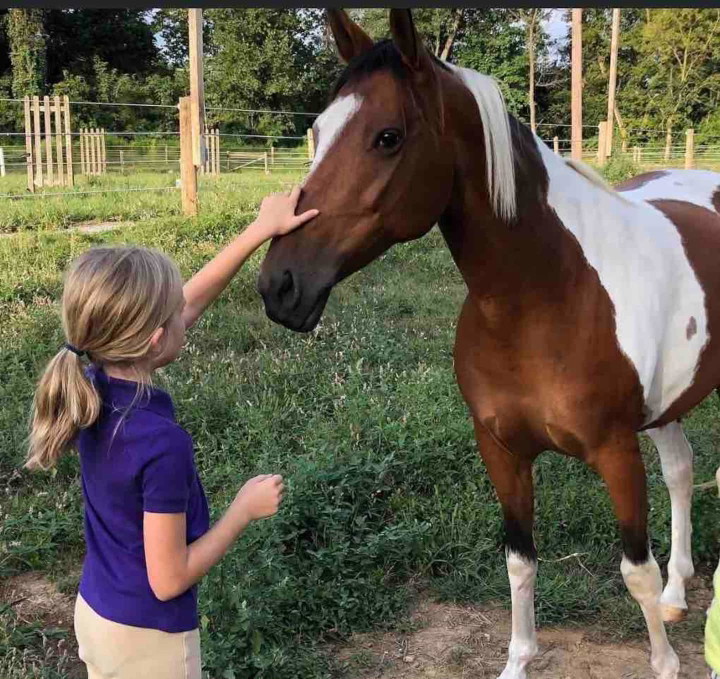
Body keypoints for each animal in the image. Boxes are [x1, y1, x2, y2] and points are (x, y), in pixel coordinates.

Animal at [257, 9, 720, 679]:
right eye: (317, 131)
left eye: (388, 137)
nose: (280, 285)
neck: (547, 298)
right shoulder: (501, 450)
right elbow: (520, 561)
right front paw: (519, 660)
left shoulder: (616, 452)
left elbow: (636, 570)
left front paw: (664, 663)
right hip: (666, 407)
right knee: (682, 473)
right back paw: (679, 595)